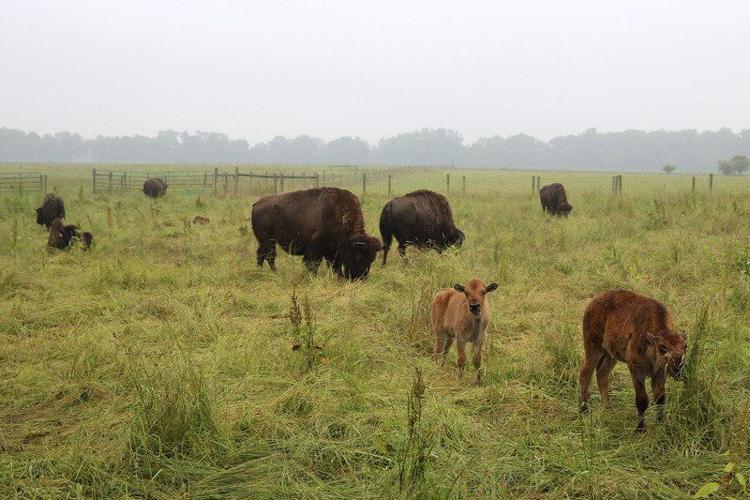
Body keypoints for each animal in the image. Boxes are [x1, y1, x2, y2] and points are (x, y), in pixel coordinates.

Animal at [251, 187, 382, 280]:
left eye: (372, 259)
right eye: (359, 257)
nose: (360, 278)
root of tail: (257, 203)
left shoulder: (333, 251)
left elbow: (335, 265)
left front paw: (338, 277)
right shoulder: (316, 249)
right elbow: (314, 264)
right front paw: (314, 277)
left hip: (268, 242)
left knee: (264, 255)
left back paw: (263, 272)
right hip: (267, 241)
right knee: (267, 256)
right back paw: (271, 273)